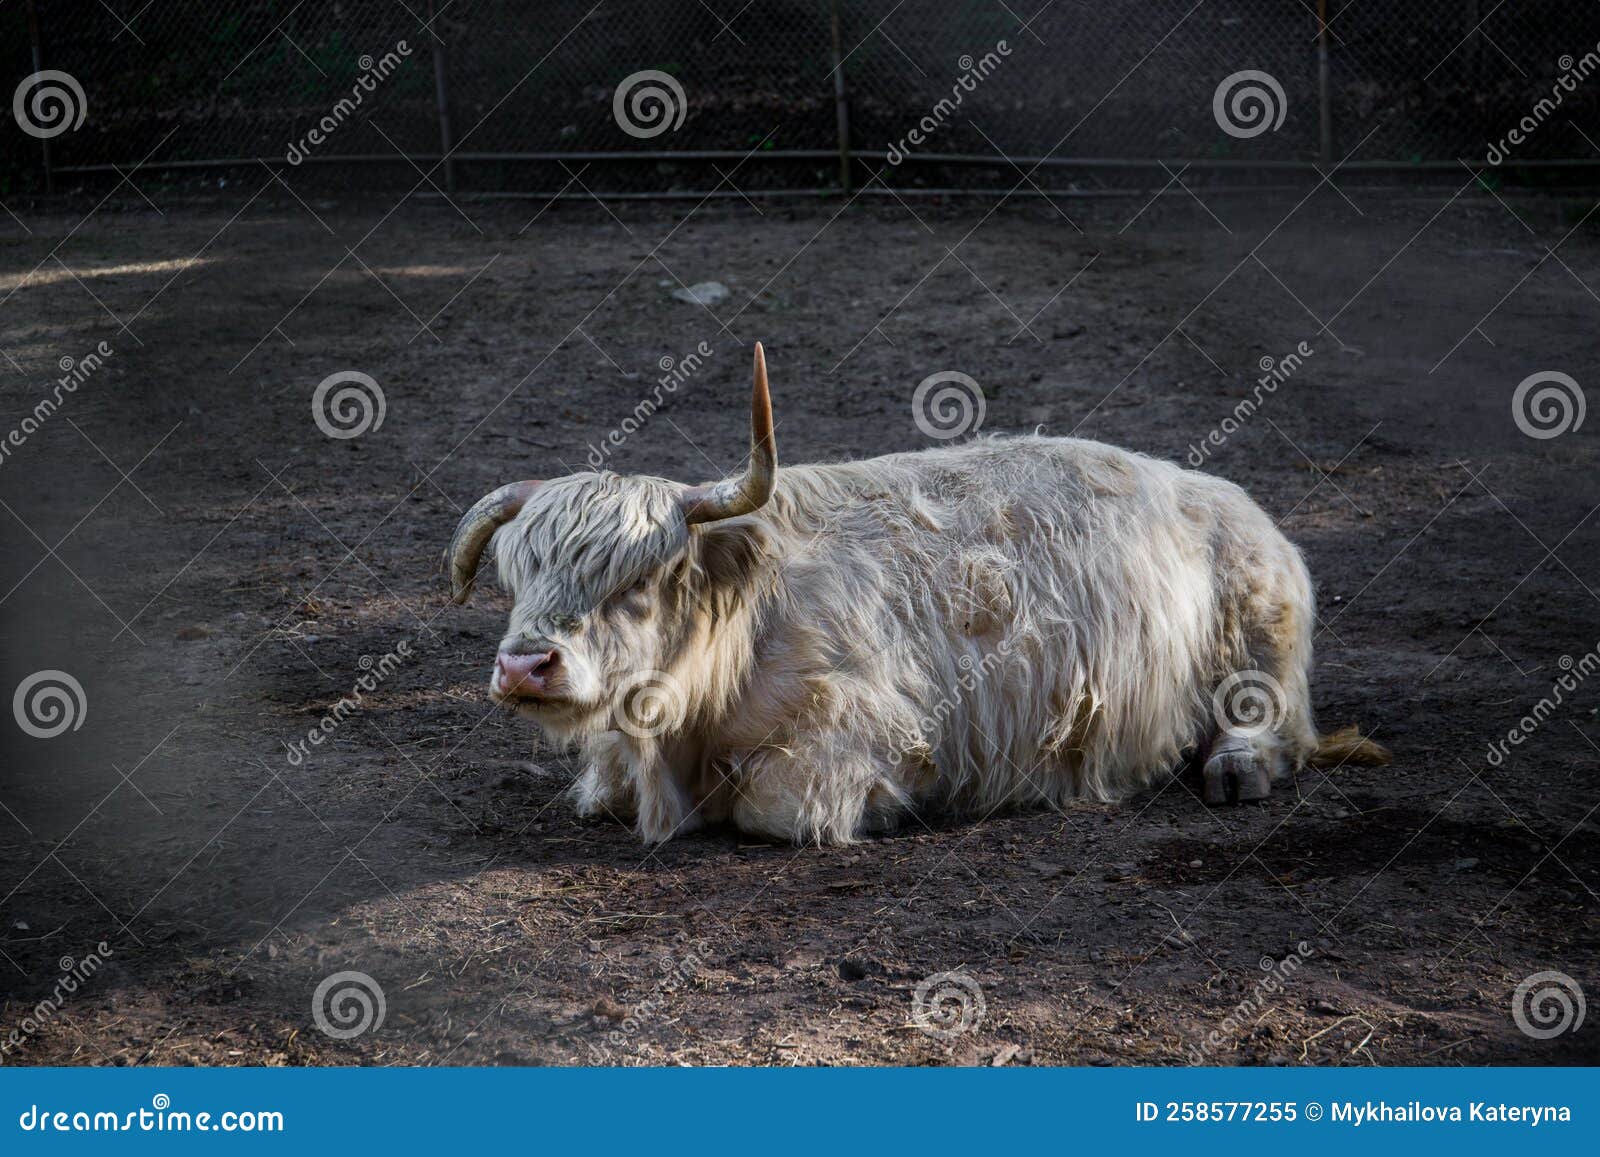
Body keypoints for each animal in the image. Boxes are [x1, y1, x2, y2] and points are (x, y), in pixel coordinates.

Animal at [445, 343, 1388, 845]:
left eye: (636, 580)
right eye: (518, 576)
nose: (526, 666)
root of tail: (1226, 497)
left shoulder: (859, 734)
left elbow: (772, 808)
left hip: (1257, 641)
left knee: (1271, 720)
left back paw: (1235, 766)